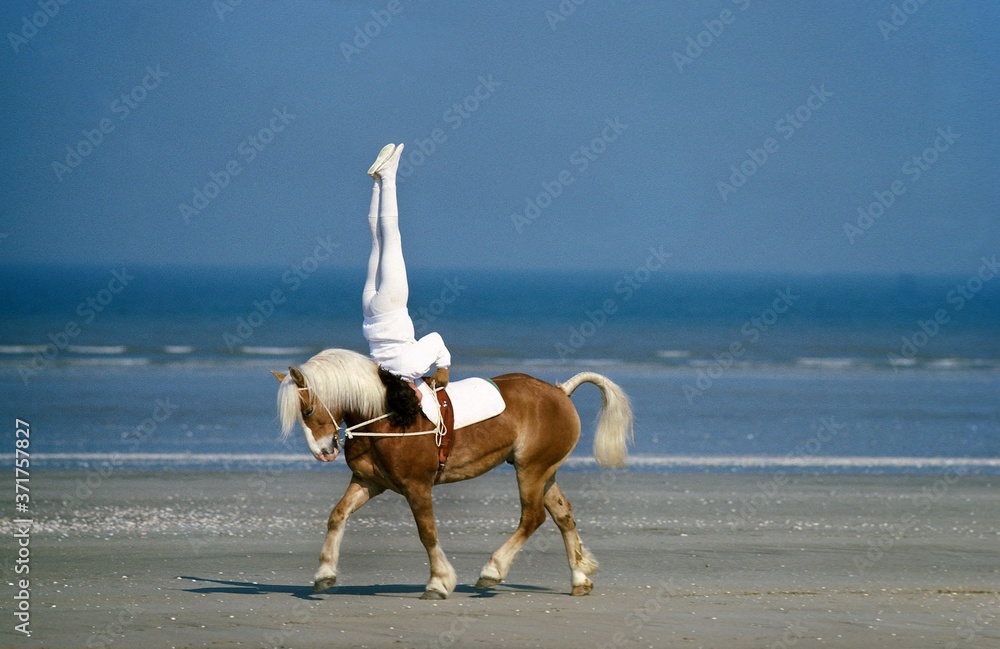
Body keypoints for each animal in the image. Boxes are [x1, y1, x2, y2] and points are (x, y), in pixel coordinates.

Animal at [273, 348, 633, 600]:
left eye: (308, 410)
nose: (323, 452)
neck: (390, 415)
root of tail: (560, 391)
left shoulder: (417, 487)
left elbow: (427, 533)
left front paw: (438, 582)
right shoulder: (368, 483)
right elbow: (337, 515)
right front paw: (325, 573)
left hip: (531, 470)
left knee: (533, 518)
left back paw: (493, 570)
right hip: (545, 473)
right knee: (563, 517)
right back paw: (579, 579)